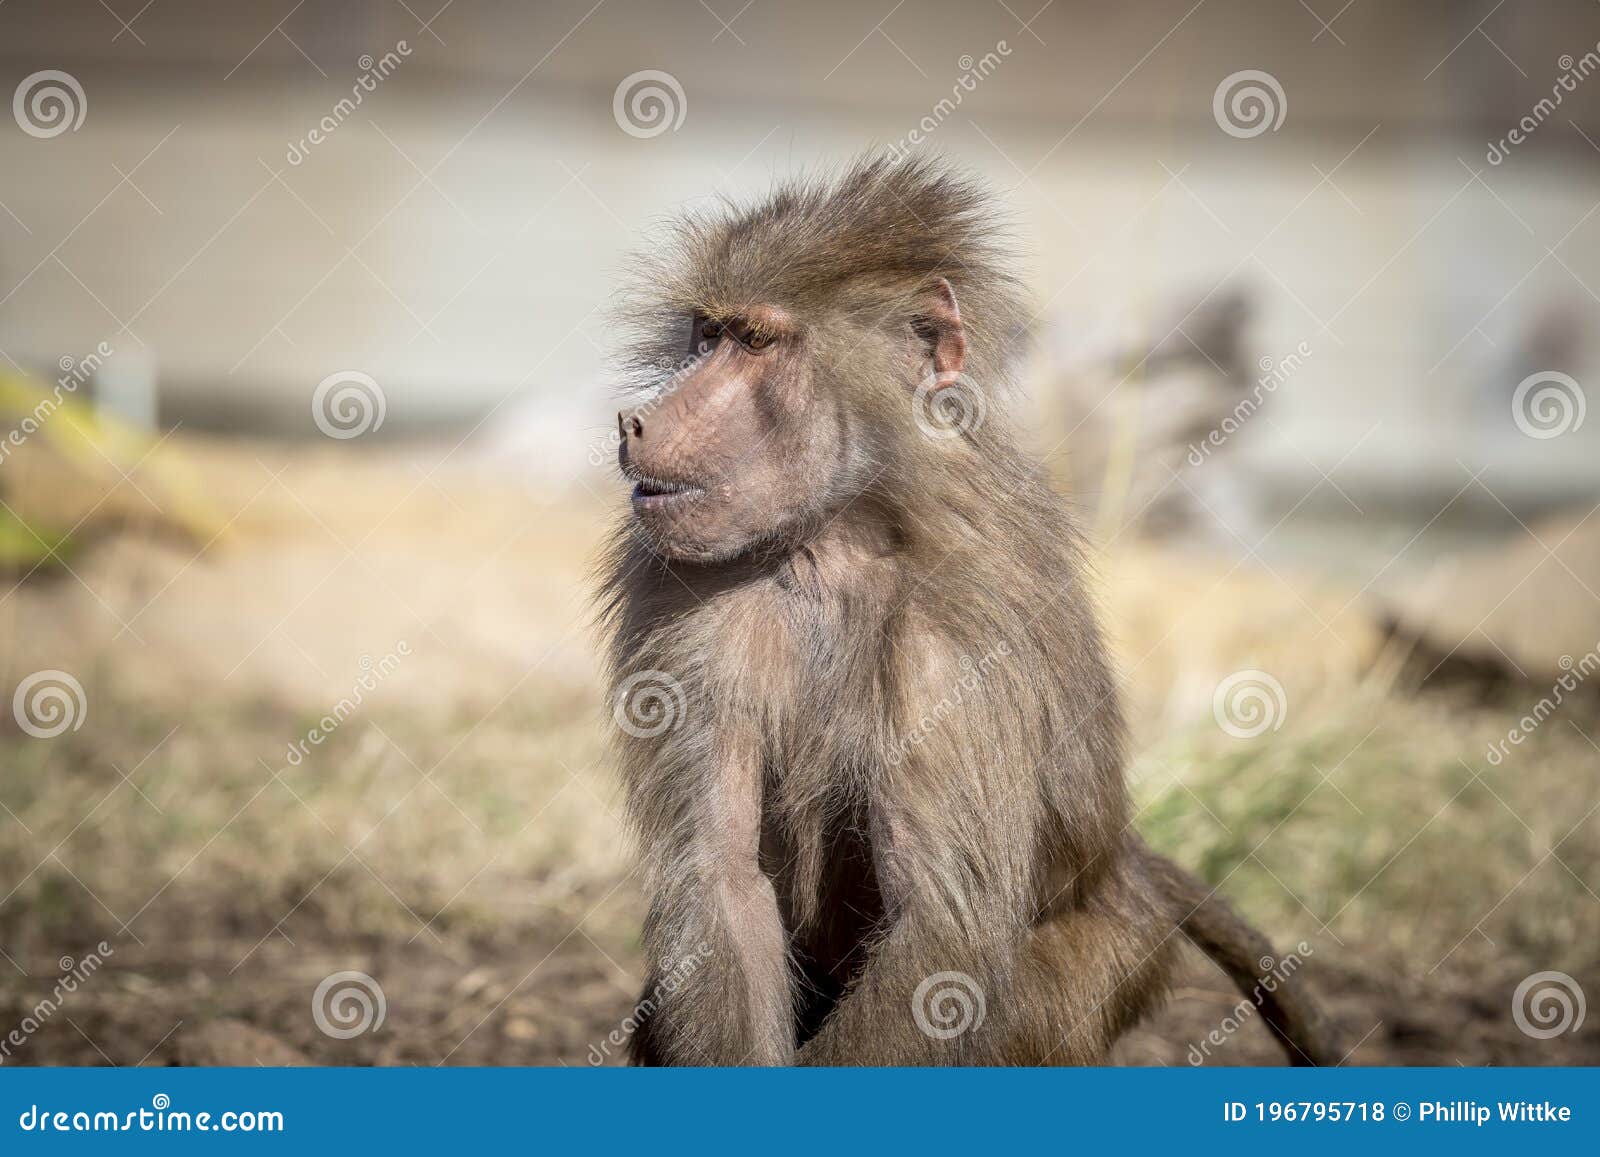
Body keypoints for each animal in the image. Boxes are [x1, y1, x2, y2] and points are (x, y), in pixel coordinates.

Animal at [596, 155, 1334, 1066]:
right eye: (706, 334)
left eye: (756, 342)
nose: (637, 420)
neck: (835, 541)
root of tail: (1124, 867)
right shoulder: (679, 599)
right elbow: (721, 882)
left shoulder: (957, 642)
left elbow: (941, 936)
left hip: (1109, 961)